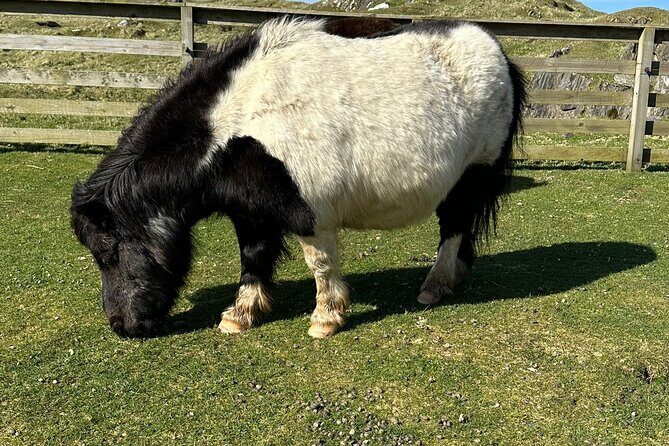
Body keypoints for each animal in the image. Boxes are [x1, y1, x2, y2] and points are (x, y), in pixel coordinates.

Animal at [71, 17, 526, 339]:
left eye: (107, 254)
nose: (122, 327)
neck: (241, 118)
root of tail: (497, 51)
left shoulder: (310, 213)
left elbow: (320, 264)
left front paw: (326, 318)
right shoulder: (250, 214)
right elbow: (253, 257)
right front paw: (241, 315)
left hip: (470, 178)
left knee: (454, 229)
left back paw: (434, 286)